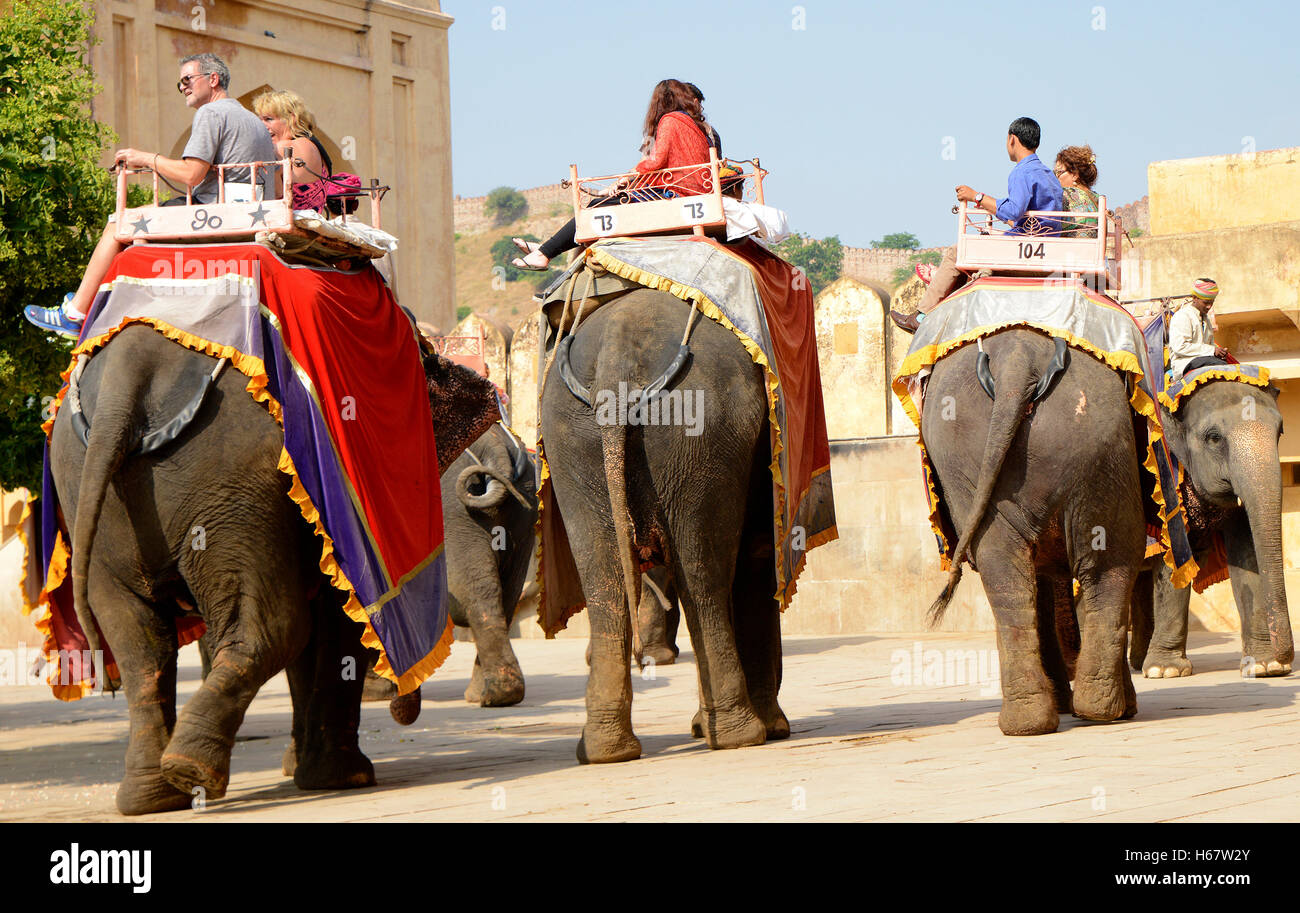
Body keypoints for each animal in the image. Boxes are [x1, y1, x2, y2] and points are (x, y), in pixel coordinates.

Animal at [49, 324, 494, 815]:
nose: (402, 707)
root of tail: (126, 381)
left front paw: (306, 771)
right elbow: (338, 622)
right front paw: (344, 779)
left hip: (99, 491)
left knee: (138, 643)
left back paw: (153, 795)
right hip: (231, 484)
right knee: (273, 629)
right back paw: (190, 771)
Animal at [540, 286, 786, 763]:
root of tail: (617, 351)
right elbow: (757, 554)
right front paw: (774, 728)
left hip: (572, 440)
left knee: (604, 580)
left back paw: (605, 750)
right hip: (699, 434)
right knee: (704, 578)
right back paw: (741, 736)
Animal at [923, 330, 1143, 735]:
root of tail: (1017, 360)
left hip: (975, 451)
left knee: (1006, 567)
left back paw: (1035, 720)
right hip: (1097, 445)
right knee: (1110, 563)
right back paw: (1098, 710)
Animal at [1129, 378, 1294, 679]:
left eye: (1280, 431)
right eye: (1214, 438)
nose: (1285, 658)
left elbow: (1246, 549)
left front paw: (1265, 667)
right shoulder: (1162, 477)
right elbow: (1174, 556)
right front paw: (1165, 671)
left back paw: (1137, 662)